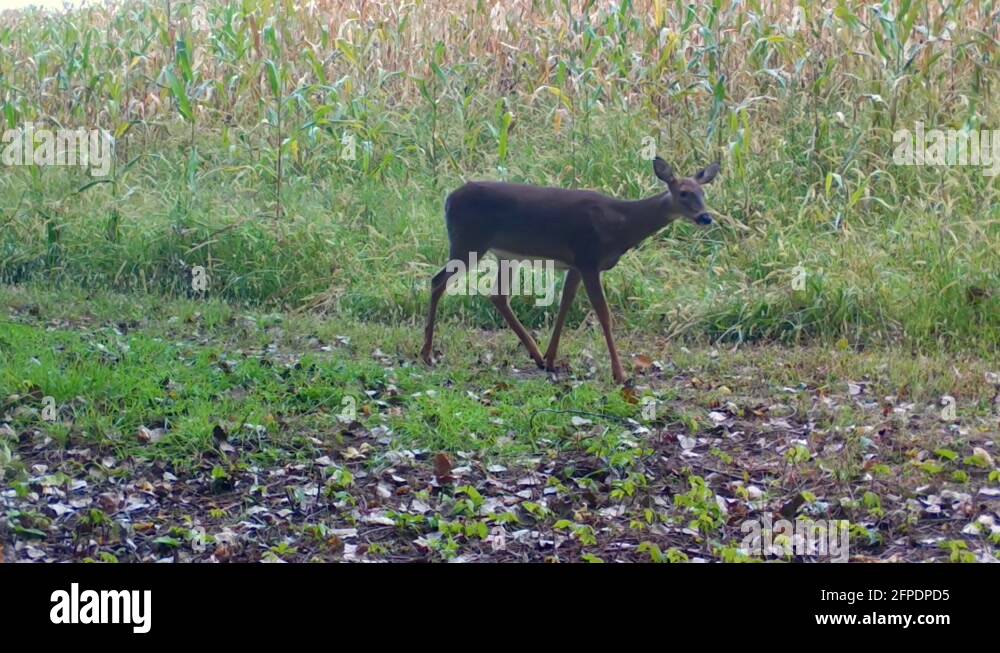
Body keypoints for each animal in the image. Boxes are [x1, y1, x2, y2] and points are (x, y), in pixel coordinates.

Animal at [421, 157, 720, 385]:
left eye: (703, 193)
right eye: (683, 193)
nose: (705, 217)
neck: (621, 225)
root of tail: (448, 200)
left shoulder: (576, 264)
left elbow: (565, 303)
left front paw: (552, 359)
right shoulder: (589, 258)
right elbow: (604, 314)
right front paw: (620, 375)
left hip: (503, 253)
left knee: (498, 296)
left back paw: (536, 355)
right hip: (468, 240)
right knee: (438, 281)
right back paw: (427, 354)